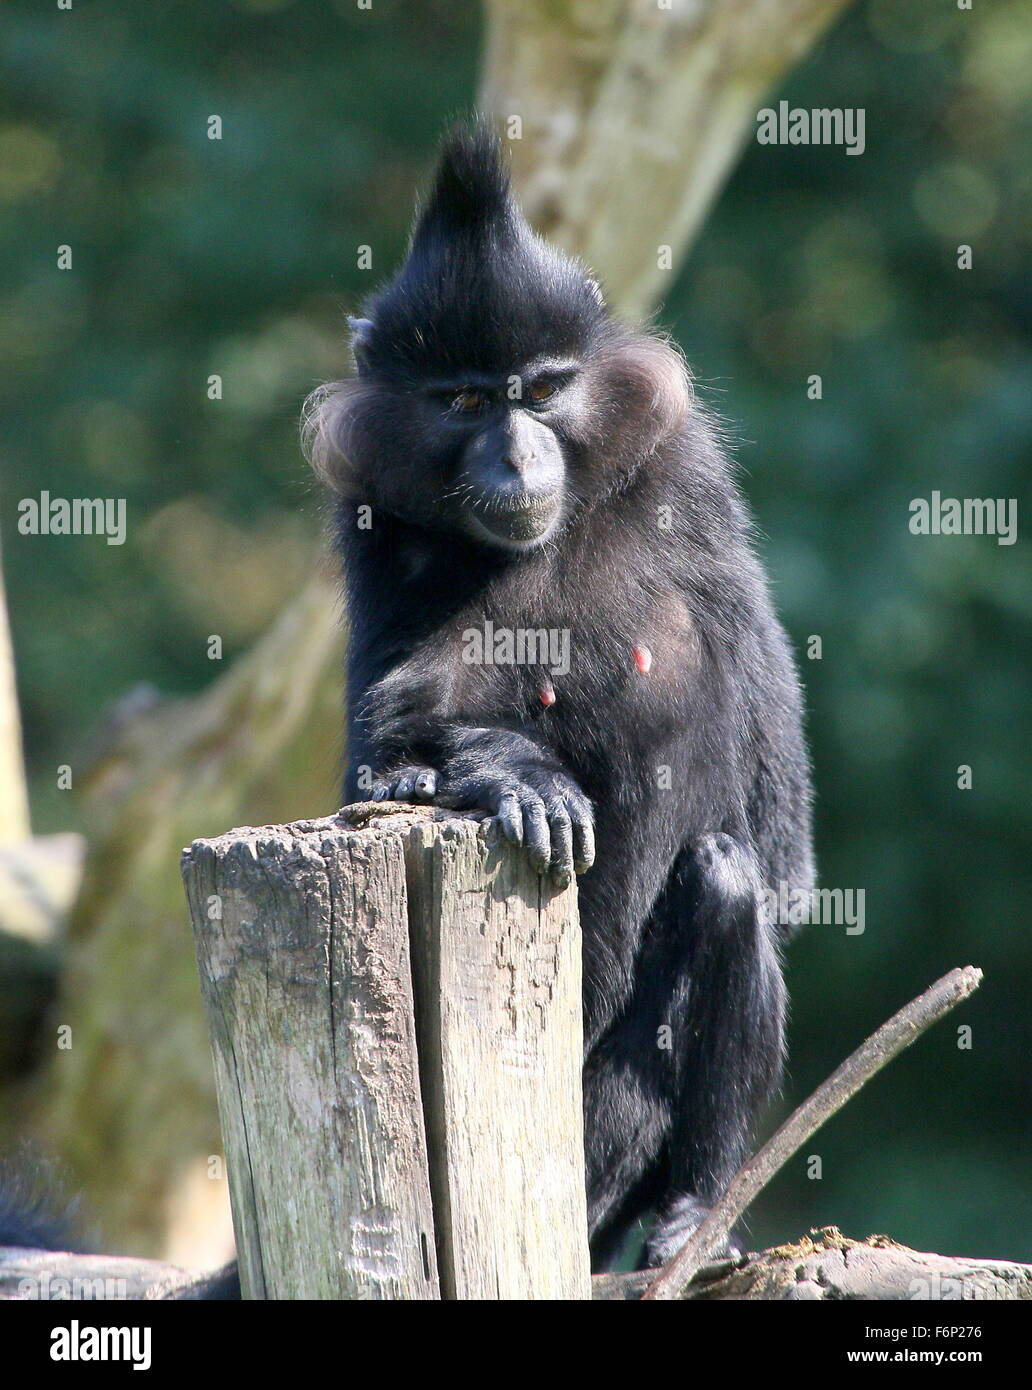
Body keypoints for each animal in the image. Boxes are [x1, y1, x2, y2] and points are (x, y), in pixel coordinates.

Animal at [305, 119, 814, 1270]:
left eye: (540, 392)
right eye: (463, 400)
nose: (518, 453)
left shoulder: (684, 468)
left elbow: (757, 686)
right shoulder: (372, 531)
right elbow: (379, 753)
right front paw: (507, 775)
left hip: (615, 1131)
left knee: (725, 880)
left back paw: (696, 1210)